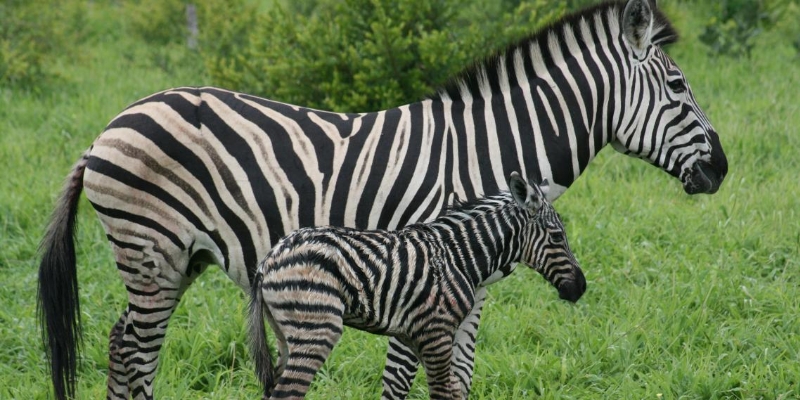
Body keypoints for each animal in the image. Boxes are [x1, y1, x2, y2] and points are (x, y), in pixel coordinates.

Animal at [248, 172, 585, 399]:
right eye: (557, 236)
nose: (580, 288)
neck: (458, 257)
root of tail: (269, 260)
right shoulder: (437, 332)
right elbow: (442, 393)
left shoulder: (415, 336)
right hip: (317, 328)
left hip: (286, 335)